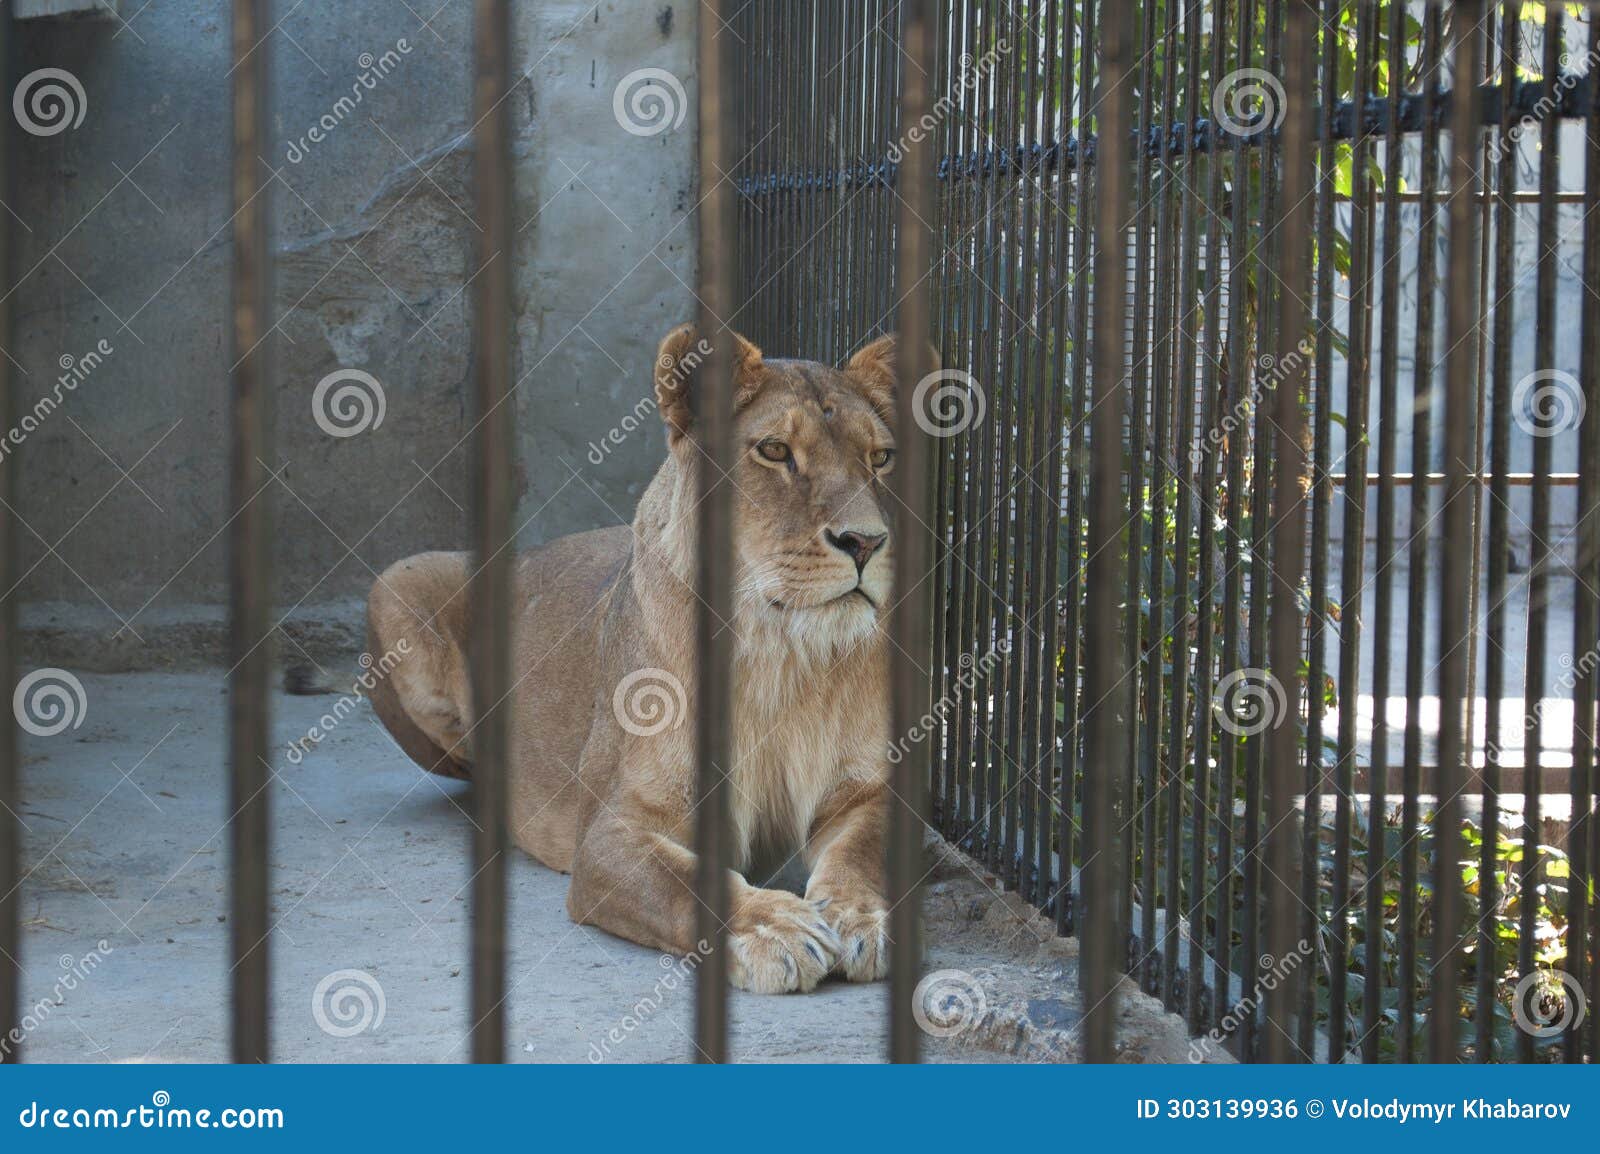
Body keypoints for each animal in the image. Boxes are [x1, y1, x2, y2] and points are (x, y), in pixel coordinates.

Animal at [364, 325, 906, 993]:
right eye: (775, 450)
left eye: (879, 458)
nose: (866, 542)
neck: (777, 650)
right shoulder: (612, 831)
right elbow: (685, 884)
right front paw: (775, 929)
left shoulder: (870, 790)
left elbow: (861, 853)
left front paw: (861, 918)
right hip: (396, 582)